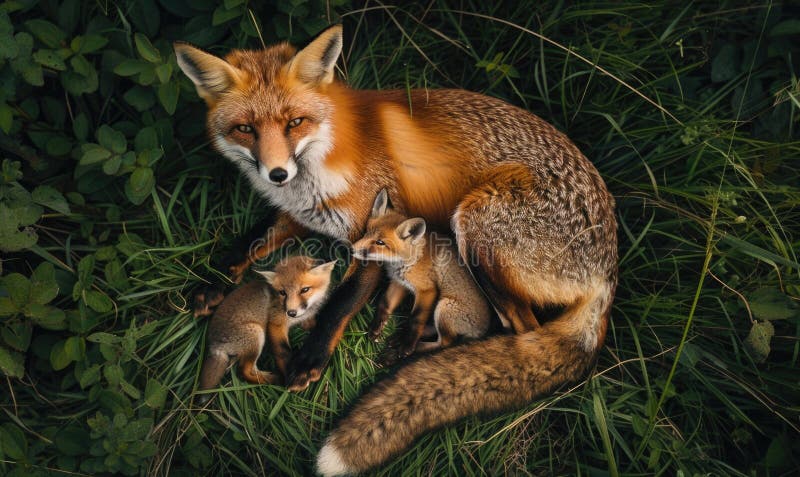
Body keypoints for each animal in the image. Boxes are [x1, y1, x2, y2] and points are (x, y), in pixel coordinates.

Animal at [196, 256, 336, 404]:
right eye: (283, 293)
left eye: (305, 289)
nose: (291, 313)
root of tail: (213, 343)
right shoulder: (275, 324)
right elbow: (282, 351)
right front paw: (291, 377)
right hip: (257, 334)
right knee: (244, 372)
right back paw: (276, 380)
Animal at [352, 189, 491, 358]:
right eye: (366, 232)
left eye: (380, 243)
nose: (352, 249)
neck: (409, 261)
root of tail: (485, 330)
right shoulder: (400, 283)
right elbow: (384, 304)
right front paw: (376, 328)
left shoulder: (427, 290)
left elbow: (415, 320)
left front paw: (407, 346)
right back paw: (398, 337)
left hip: (443, 307)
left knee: (445, 343)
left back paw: (414, 347)